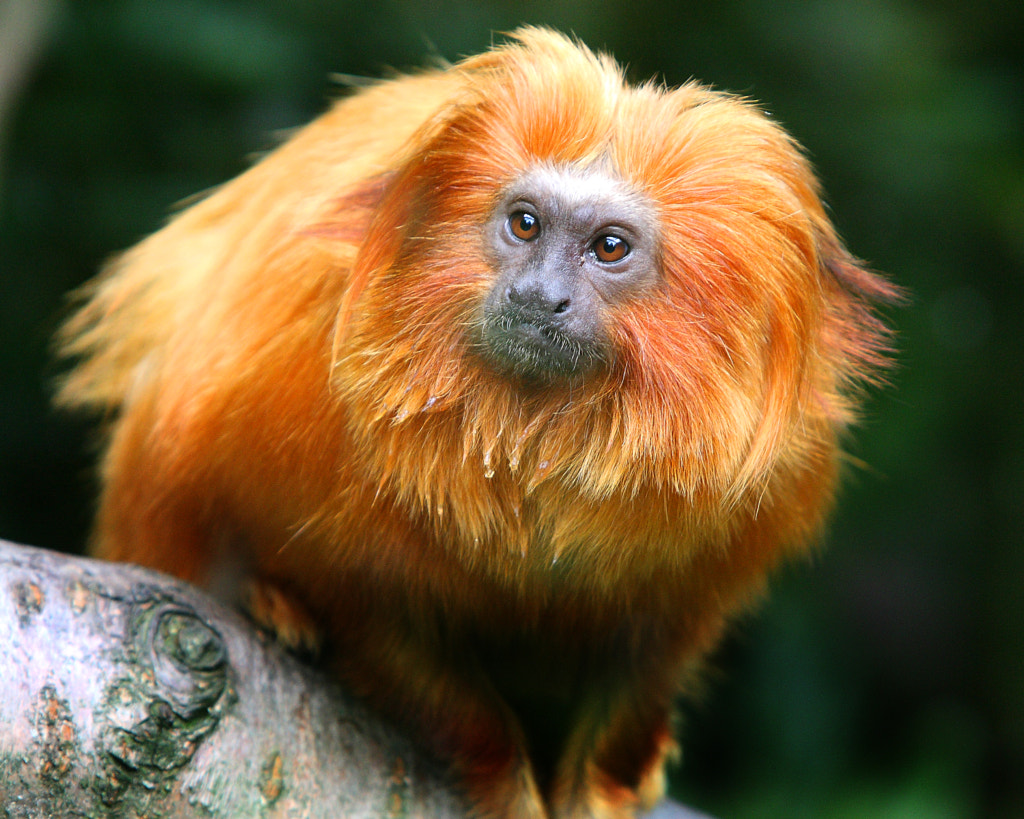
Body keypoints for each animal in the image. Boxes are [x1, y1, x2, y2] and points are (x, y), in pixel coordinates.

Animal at [57, 28, 897, 819]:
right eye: (524, 226)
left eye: (609, 247)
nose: (539, 294)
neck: (533, 438)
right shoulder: (308, 391)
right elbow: (379, 624)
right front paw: (501, 773)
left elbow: (646, 660)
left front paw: (603, 784)